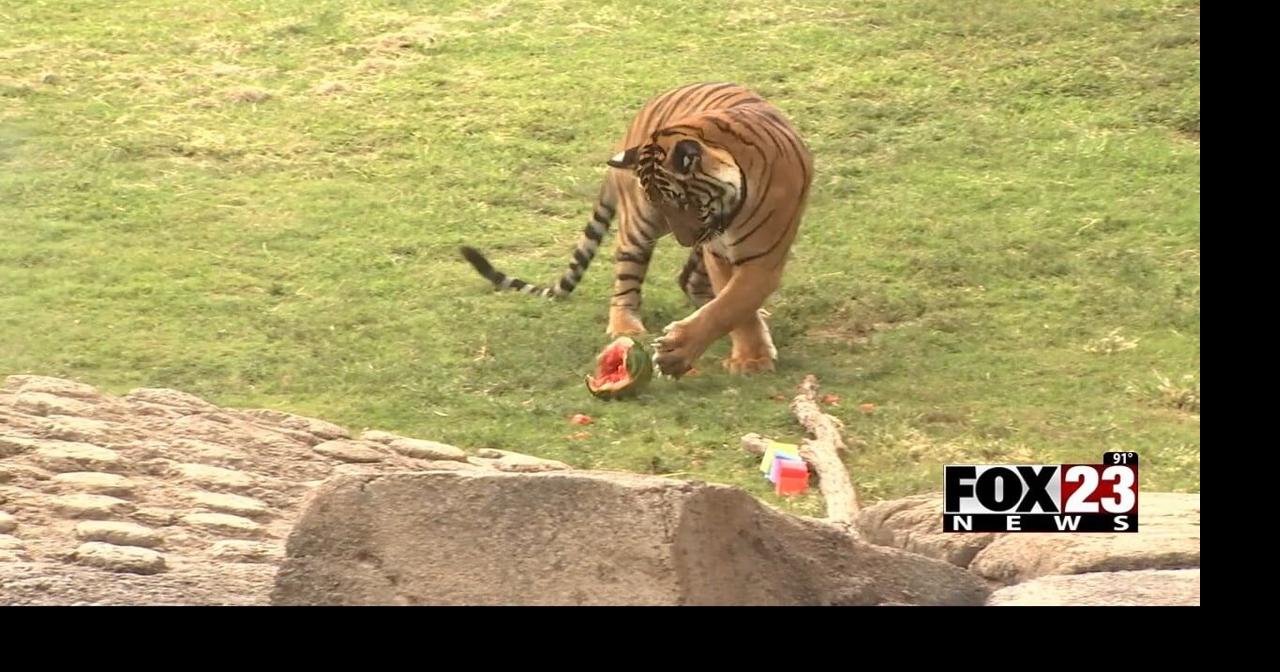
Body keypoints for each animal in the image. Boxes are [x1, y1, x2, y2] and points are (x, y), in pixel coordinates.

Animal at [459, 82, 813, 379]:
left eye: (682, 202)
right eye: (662, 203)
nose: (685, 240)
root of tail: (630, 131)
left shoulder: (760, 259)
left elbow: (732, 305)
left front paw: (743, 356)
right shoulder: (720, 253)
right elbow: (733, 309)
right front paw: (747, 357)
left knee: (689, 281)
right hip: (639, 228)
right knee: (627, 284)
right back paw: (626, 327)